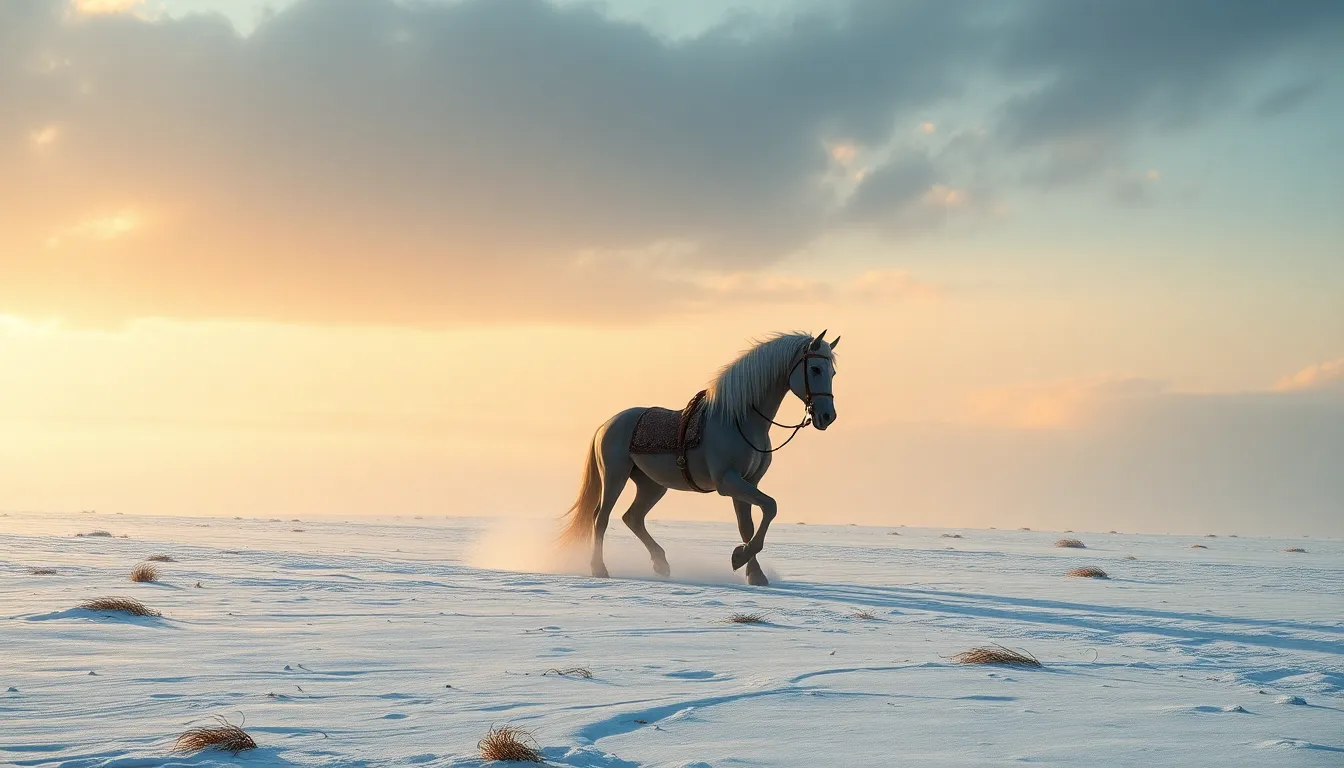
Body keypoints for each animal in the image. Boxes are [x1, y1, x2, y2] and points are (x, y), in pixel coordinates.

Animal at [559, 330, 839, 585]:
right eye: (815, 369)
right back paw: (600, 569)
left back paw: (661, 564)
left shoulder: (748, 482)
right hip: (615, 476)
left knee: (633, 518)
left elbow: (748, 526)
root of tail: (607, 425)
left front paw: (754, 574)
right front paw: (740, 558)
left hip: (652, 485)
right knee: (601, 518)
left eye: (833, 373)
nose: (827, 416)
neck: (740, 421)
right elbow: (770, 507)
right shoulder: (728, 482)